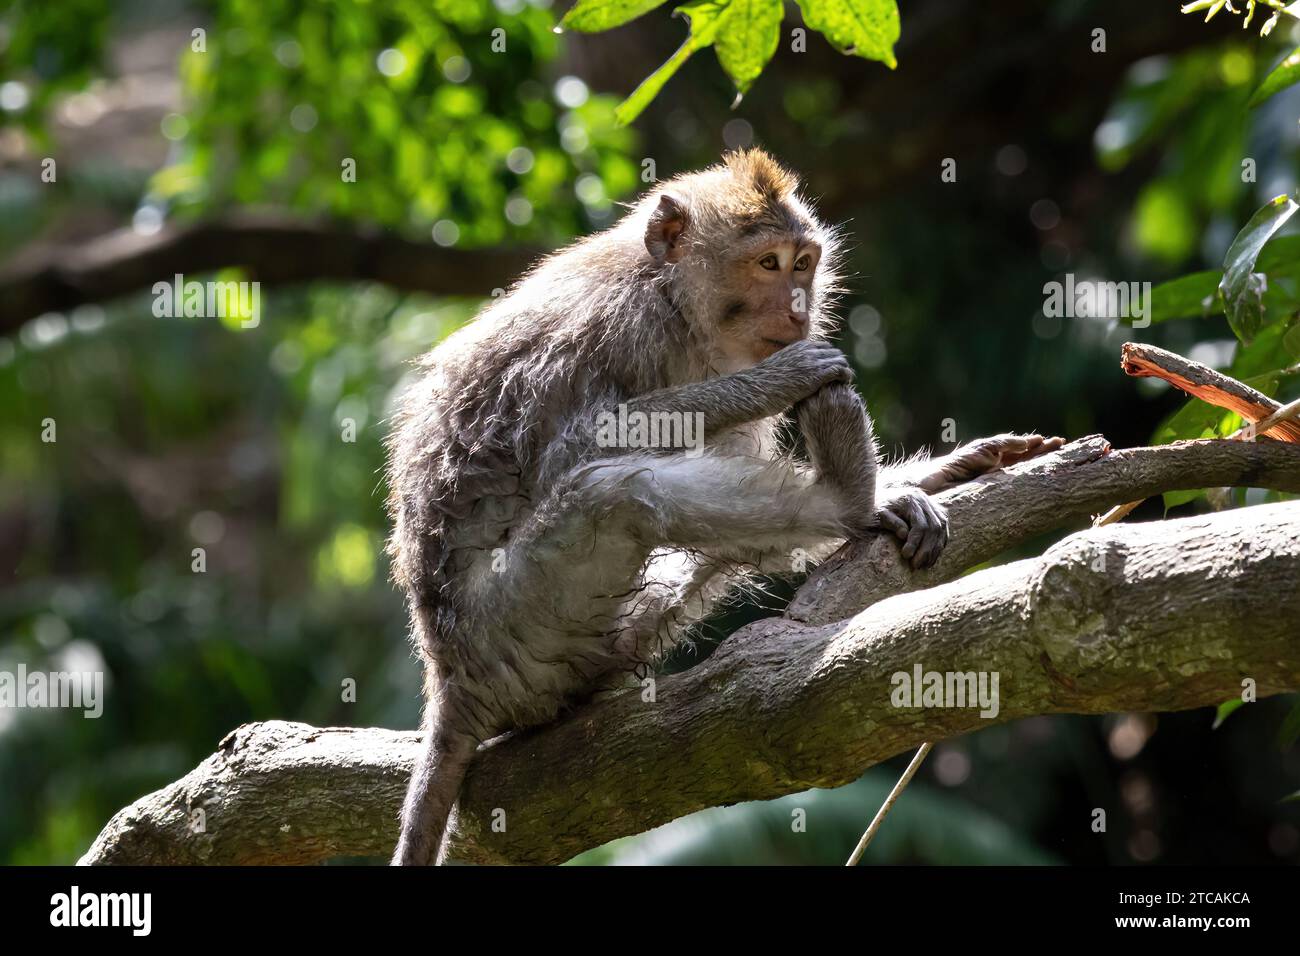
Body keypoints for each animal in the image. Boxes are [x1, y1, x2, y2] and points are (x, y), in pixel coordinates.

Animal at [384, 149, 1062, 865]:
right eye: (767, 263)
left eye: (804, 263)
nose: (798, 310)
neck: (674, 301)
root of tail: (446, 677)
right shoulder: (620, 329)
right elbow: (572, 451)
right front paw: (777, 382)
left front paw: (914, 482)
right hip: (513, 627)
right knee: (617, 493)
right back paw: (847, 498)